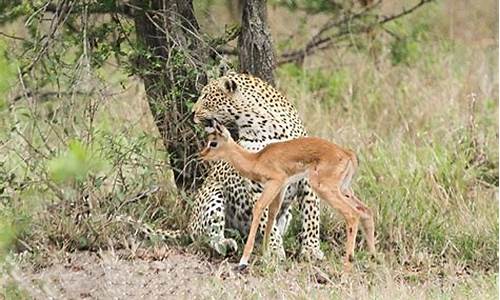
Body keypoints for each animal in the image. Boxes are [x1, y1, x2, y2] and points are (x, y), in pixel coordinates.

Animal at [188, 71, 324, 262]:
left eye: (206, 96)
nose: (192, 112)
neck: (260, 124)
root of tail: (188, 224)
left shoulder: (307, 178)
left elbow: (311, 216)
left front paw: (310, 249)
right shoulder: (258, 186)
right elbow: (267, 221)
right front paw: (274, 251)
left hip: (287, 214)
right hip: (213, 192)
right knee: (206, 235)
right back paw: (227, 244)